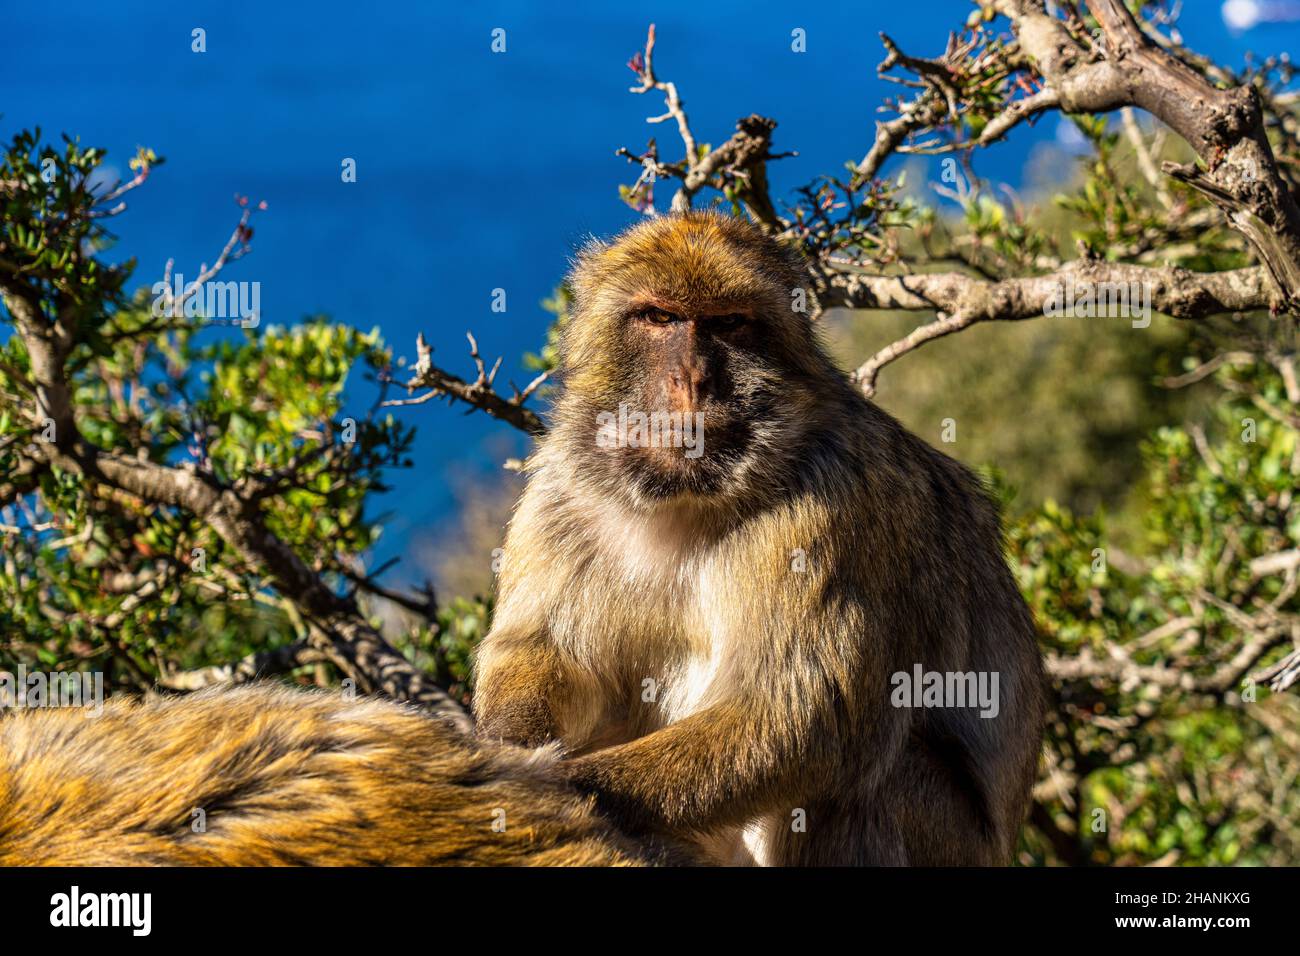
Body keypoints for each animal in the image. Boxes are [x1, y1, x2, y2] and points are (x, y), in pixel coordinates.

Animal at [472, 210, 1045, 866]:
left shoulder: (833, 510)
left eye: (730, 324)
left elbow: (801, 713)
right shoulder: (560, 494)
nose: (692, 380)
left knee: (875, 778)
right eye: (659, 317)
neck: (689, 503)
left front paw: (543, 786)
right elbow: (540, 649)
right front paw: (505, 745)